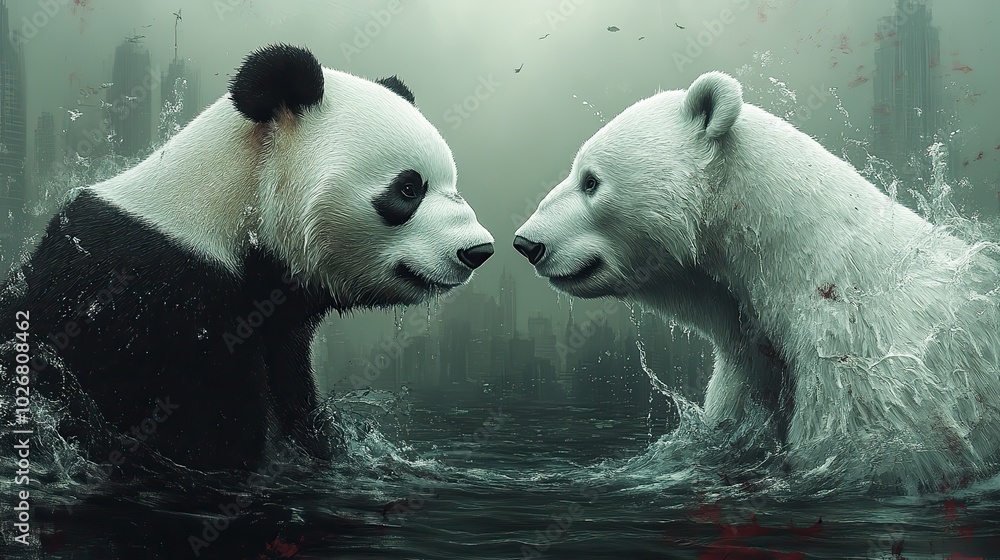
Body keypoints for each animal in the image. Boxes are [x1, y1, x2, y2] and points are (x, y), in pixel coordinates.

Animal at [0, 44, 494, 473]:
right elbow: (208, 439)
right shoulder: (152, 308)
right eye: (408, 189)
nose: (478, 251)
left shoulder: (276, 327)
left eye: (451, 182)